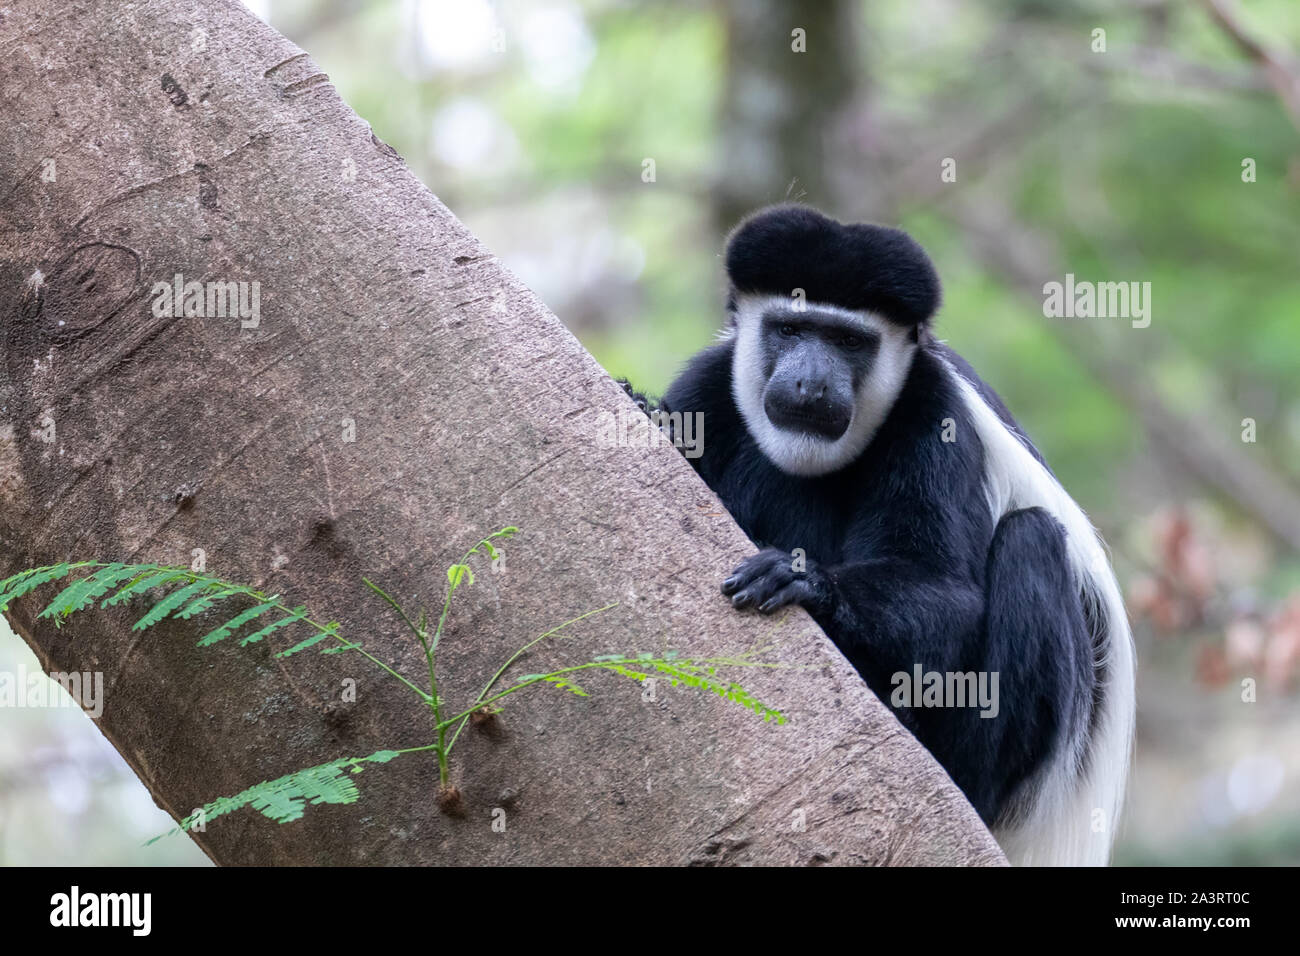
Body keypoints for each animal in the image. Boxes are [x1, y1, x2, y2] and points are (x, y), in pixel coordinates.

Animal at [631, 204, 1134, 866]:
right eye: (790, 330)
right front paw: (639, 405)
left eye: (850, 341)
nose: (811, 384)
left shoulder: (934, 417)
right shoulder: (708, 386)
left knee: (1033, 543)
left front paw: (802, 578)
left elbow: (947, 591)